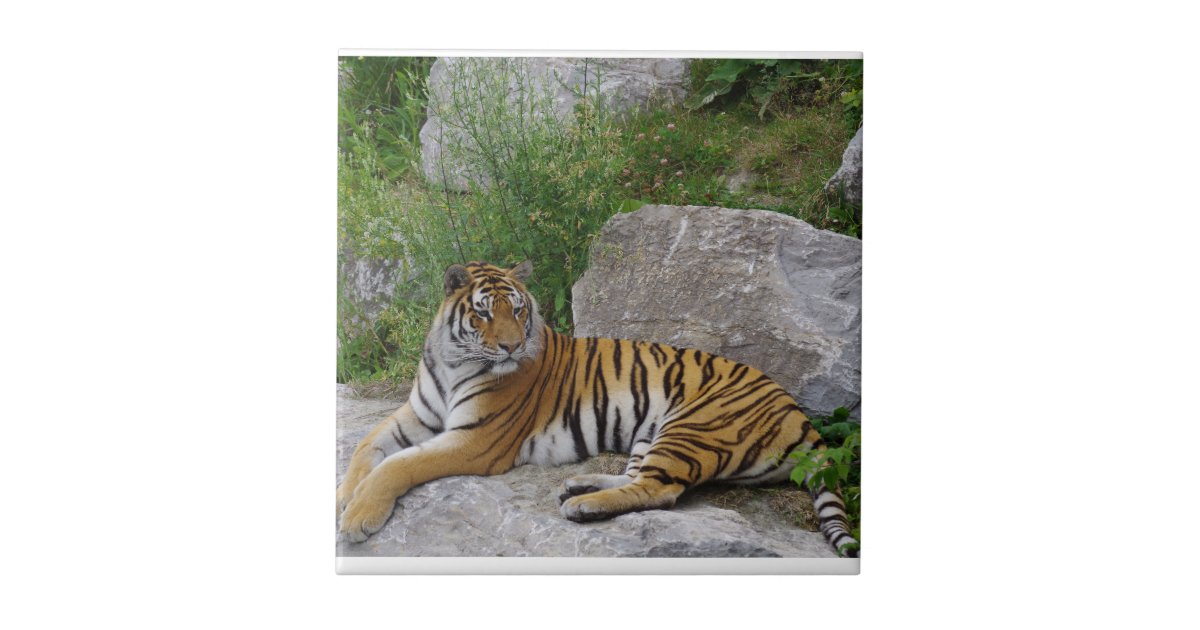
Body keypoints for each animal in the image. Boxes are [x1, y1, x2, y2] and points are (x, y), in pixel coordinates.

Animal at [336, 260, 859, 557]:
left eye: (518, 310)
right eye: (483, 312)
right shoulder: (416, 415)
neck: (451, 361)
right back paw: (580, 485)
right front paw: (345, 495)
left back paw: (583, 506)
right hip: (652, 432)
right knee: (637, 477)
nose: (510, 347)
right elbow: (366, 447)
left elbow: (400, 465)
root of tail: (799, 413)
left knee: (660, 491)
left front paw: (359, 517)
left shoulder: (475, 440)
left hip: (691, 426)